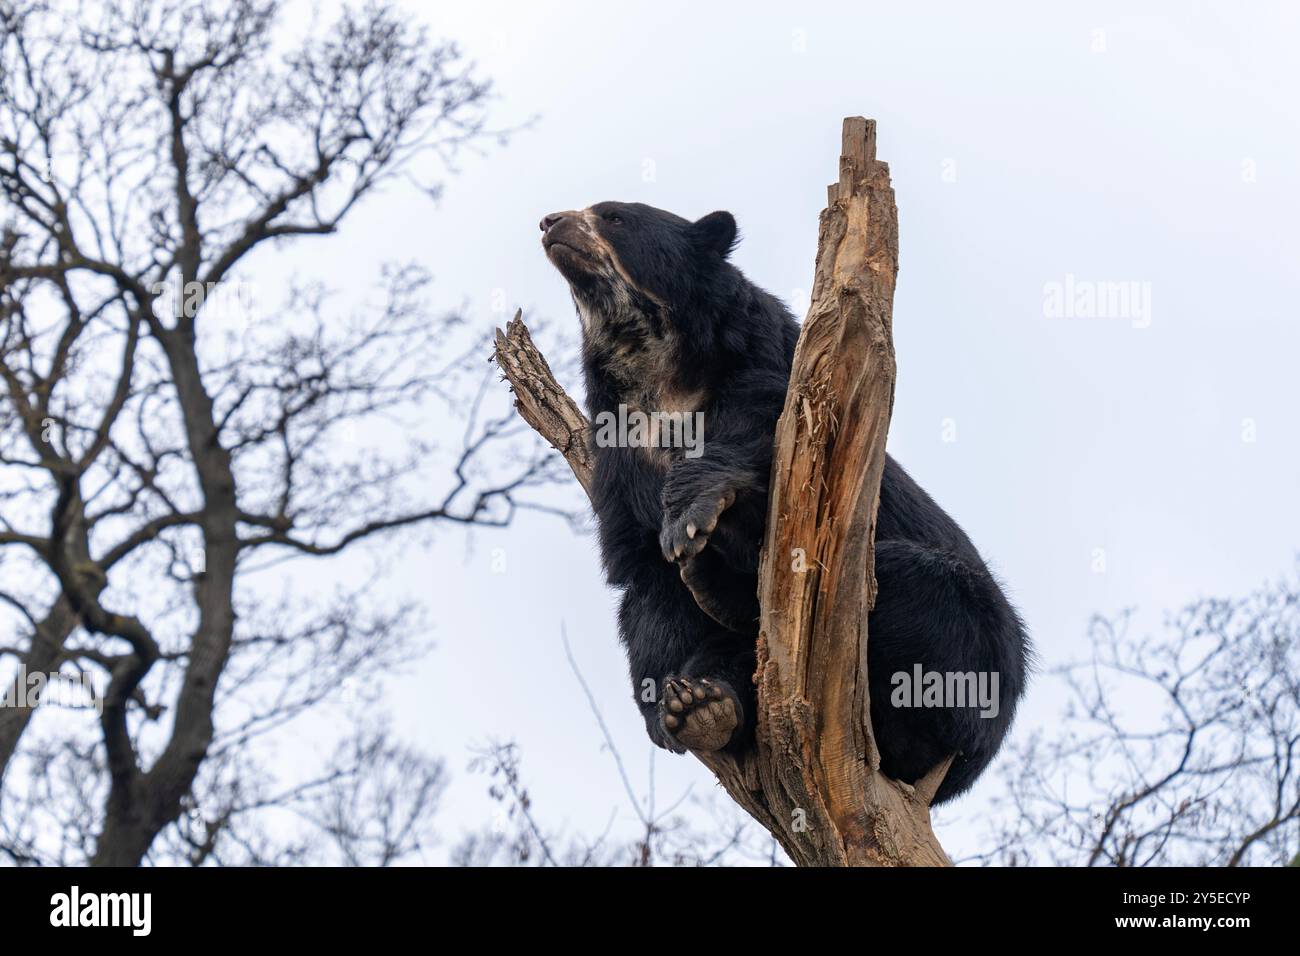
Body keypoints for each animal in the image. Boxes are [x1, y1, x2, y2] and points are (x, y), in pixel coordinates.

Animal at [539, 200, 1031, 804]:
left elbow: (757, 426)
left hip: (971, 644)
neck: (658, 371)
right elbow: (644, 584)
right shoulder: (618, 457)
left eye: (613, 217)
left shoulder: (770, 366)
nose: (549, 222)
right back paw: (704, 702)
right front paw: (674, 705)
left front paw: (692, 518)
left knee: (907, 583)